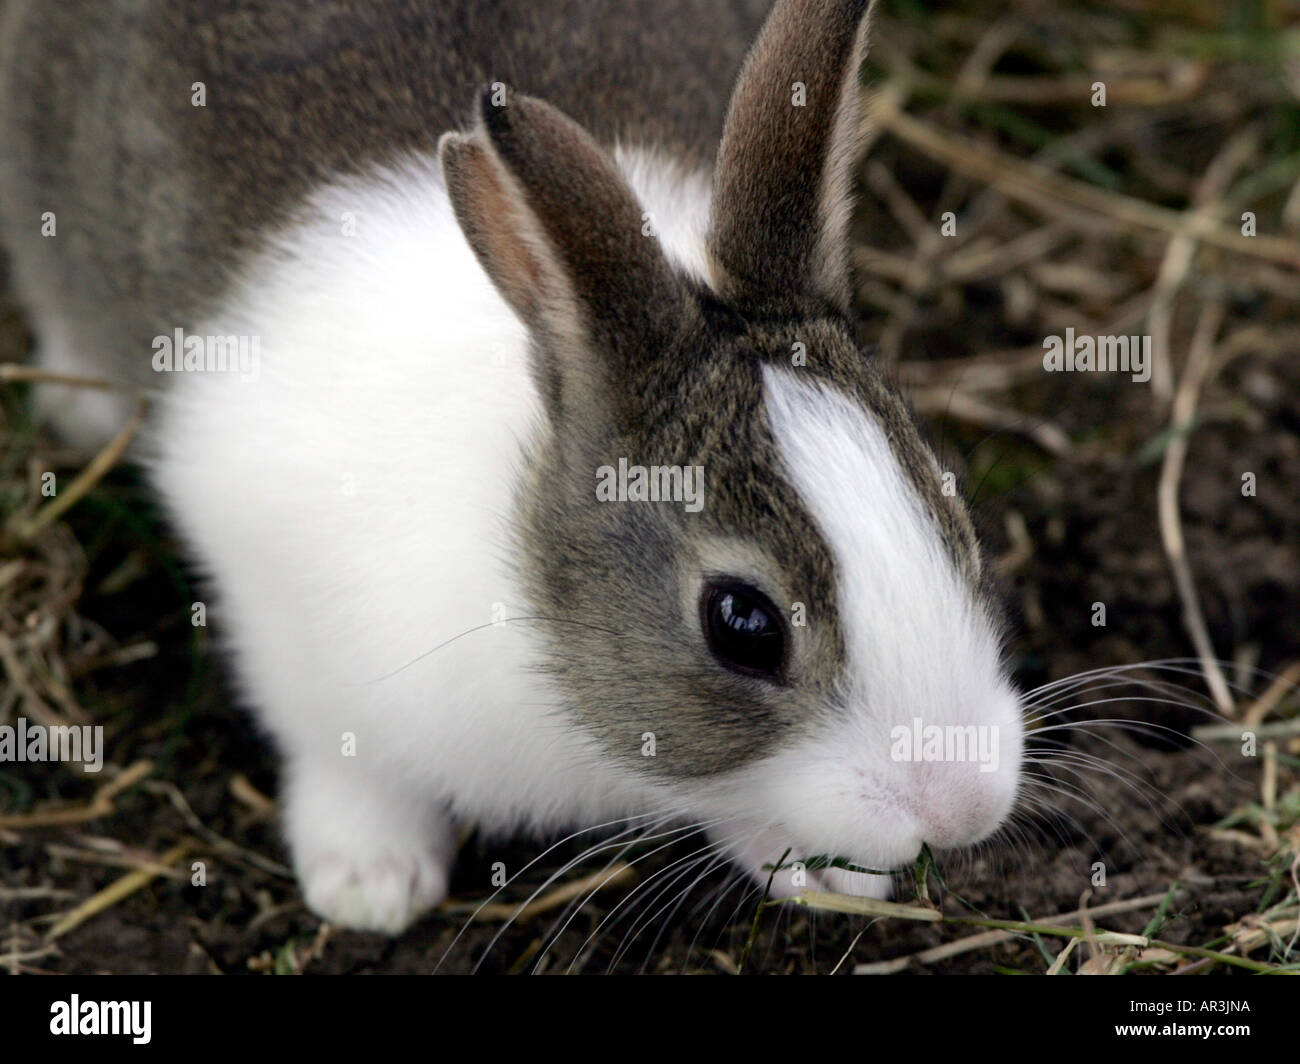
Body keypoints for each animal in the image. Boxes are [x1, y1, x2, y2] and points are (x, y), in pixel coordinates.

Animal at [0, 0, 1025, 934]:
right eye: (743, 625)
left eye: (954, 517)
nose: (962, 807)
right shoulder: (284, 618)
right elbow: (343, 760)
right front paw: (369, 882)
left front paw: (834, 878)